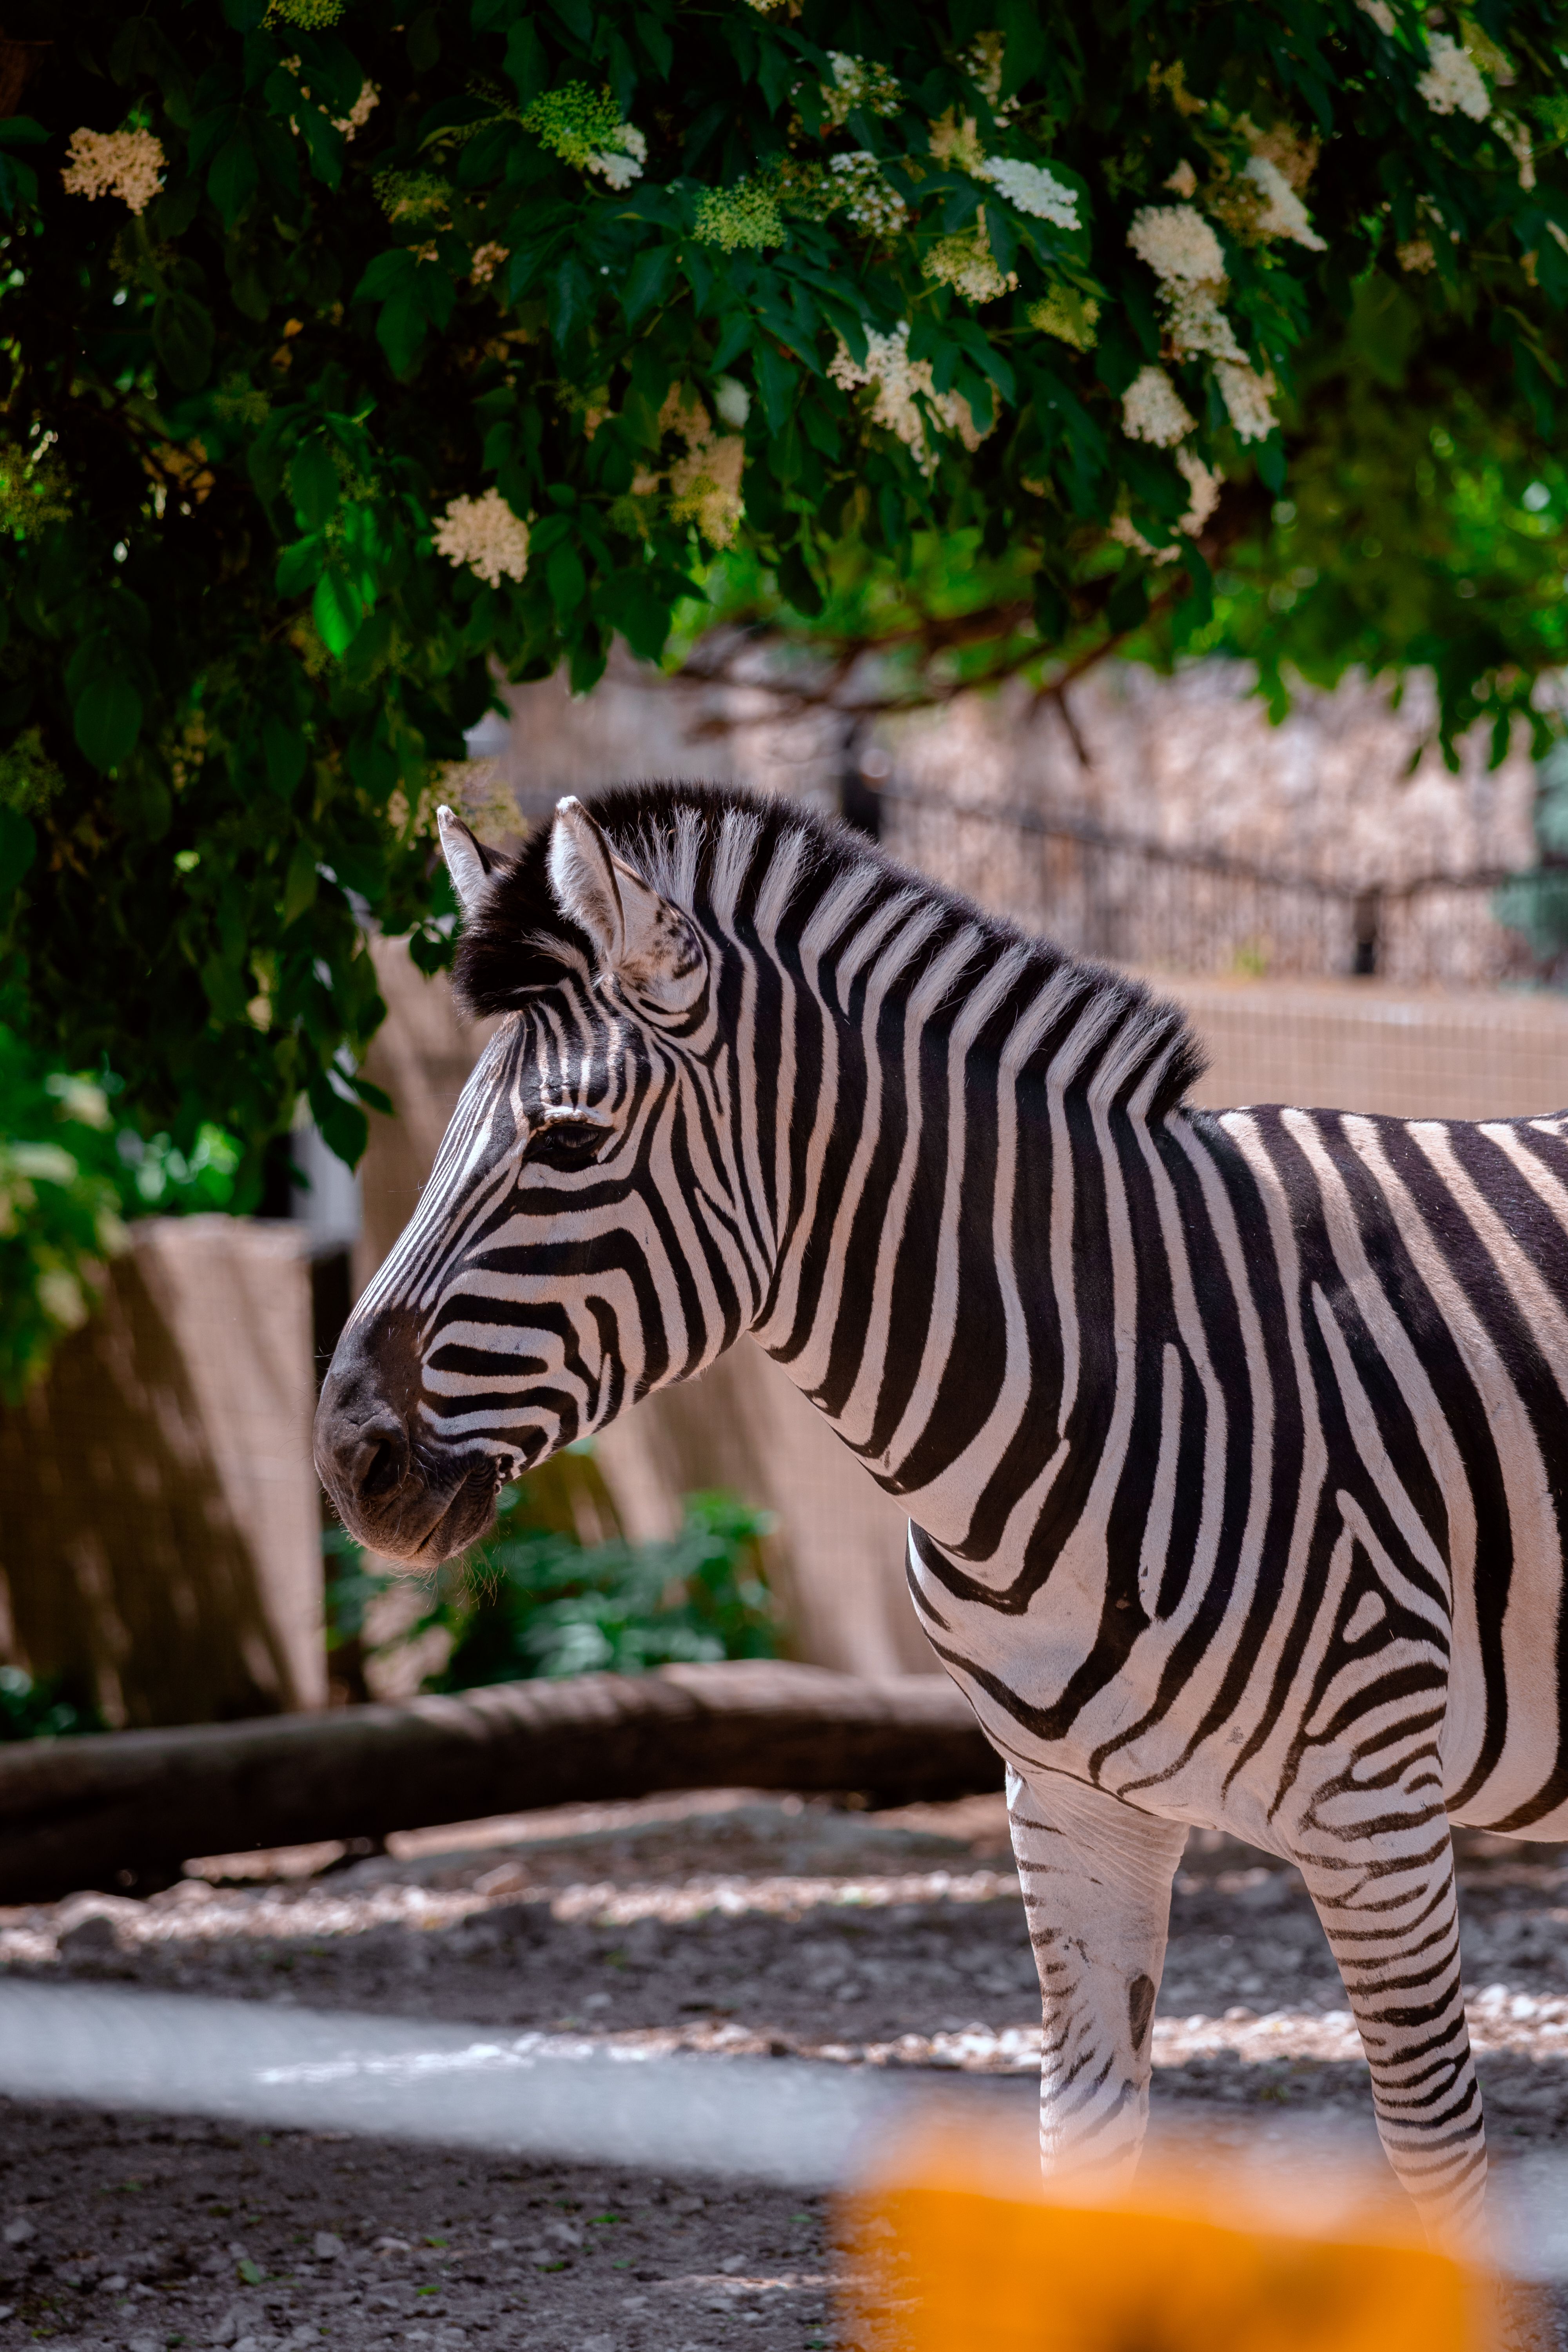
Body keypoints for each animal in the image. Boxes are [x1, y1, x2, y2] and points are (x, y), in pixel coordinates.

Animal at [315, 779, 1568, 2232]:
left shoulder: (1376, 1813)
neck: (1116, 1371)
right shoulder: (1073, 1811)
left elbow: (1435, 2164)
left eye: (567, 1142)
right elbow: (1083, 2157)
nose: (346, 1463)